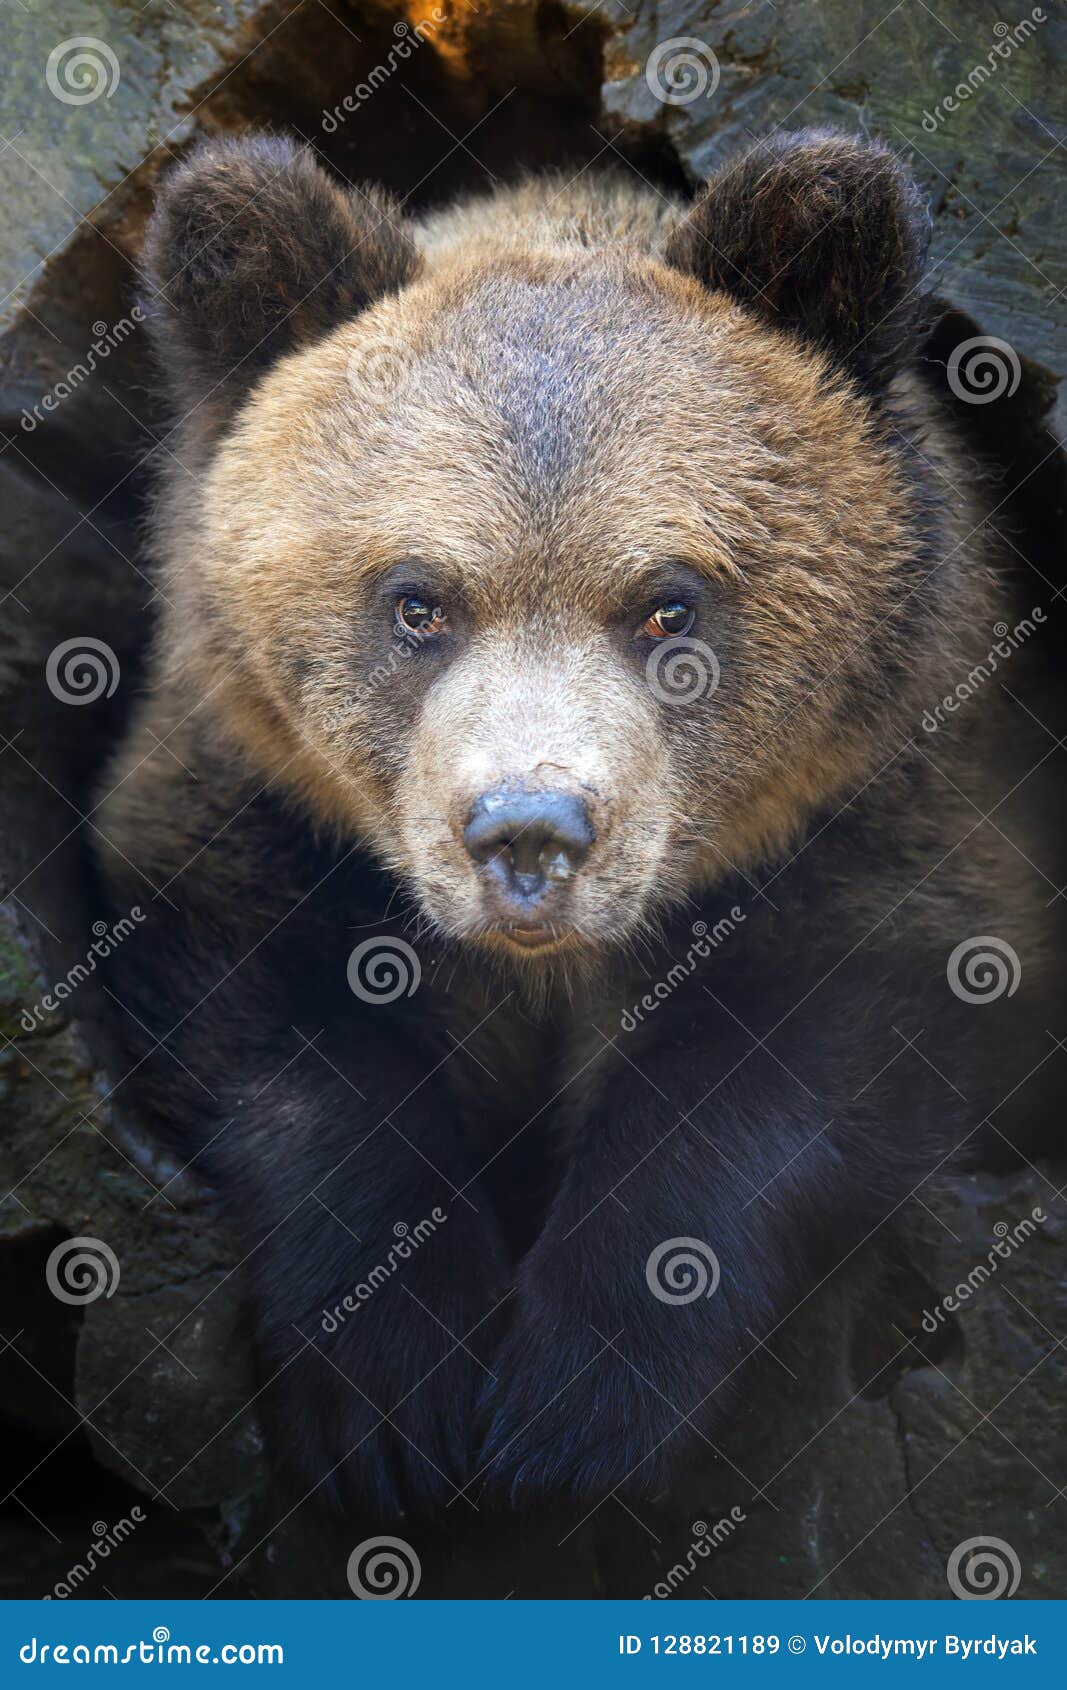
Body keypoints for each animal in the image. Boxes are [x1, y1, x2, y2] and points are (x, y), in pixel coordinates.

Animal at [88, 129, 1061, 1584]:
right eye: (414, 600)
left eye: (668, 601)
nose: (527, 834)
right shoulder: (242, 785)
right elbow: (255, 991)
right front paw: (396, 1391)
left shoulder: (893, 792)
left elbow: (824, 1024)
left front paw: (579, 1401)